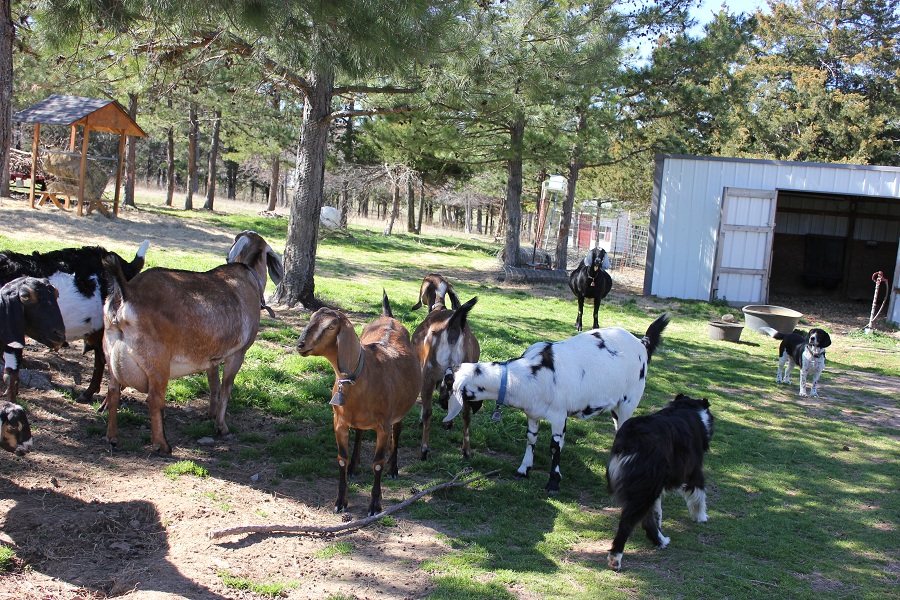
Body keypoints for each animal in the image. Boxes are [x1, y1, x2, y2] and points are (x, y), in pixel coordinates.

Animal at [102, 231, 283, 455]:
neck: (247, 274)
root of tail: (127, 291)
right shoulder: (237, 353)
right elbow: (226, 387)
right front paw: (221, 427)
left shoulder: (212, 357)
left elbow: (214, 384)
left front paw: (211, 414)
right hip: (158, 362)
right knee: (154, 399)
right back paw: (162, 445)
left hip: (110, 353)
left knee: (112, 391)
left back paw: (113, 438)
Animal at [296, 291, 422, 516]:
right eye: (311, 319)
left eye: (331, 326)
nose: (300, 345)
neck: (364, 374)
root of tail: (389, 317)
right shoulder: (339, 422)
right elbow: (341, 459)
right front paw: (340, 501)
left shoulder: (383, 426)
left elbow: (378, 463)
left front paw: (374, 505)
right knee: (360, 432)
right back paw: (355, 467)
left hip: (400, 409)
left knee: (397, 432)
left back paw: (393, 469)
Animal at [411, 296, 480, 460]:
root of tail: (453, 326)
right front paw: (449, 423)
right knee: (466, 414)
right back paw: (466, 451)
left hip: (428, 374)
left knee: (428, 411)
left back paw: (424, 450)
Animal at [443, 313, 670, 493]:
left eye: (447, 383)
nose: (442, 404)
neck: (525, 375)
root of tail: (642, 343)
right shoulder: (532, 414)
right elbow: (531, 439)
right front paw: (523, 470)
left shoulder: (559, 415)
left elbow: (555, 447)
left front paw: (553, 482)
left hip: (628, 402)